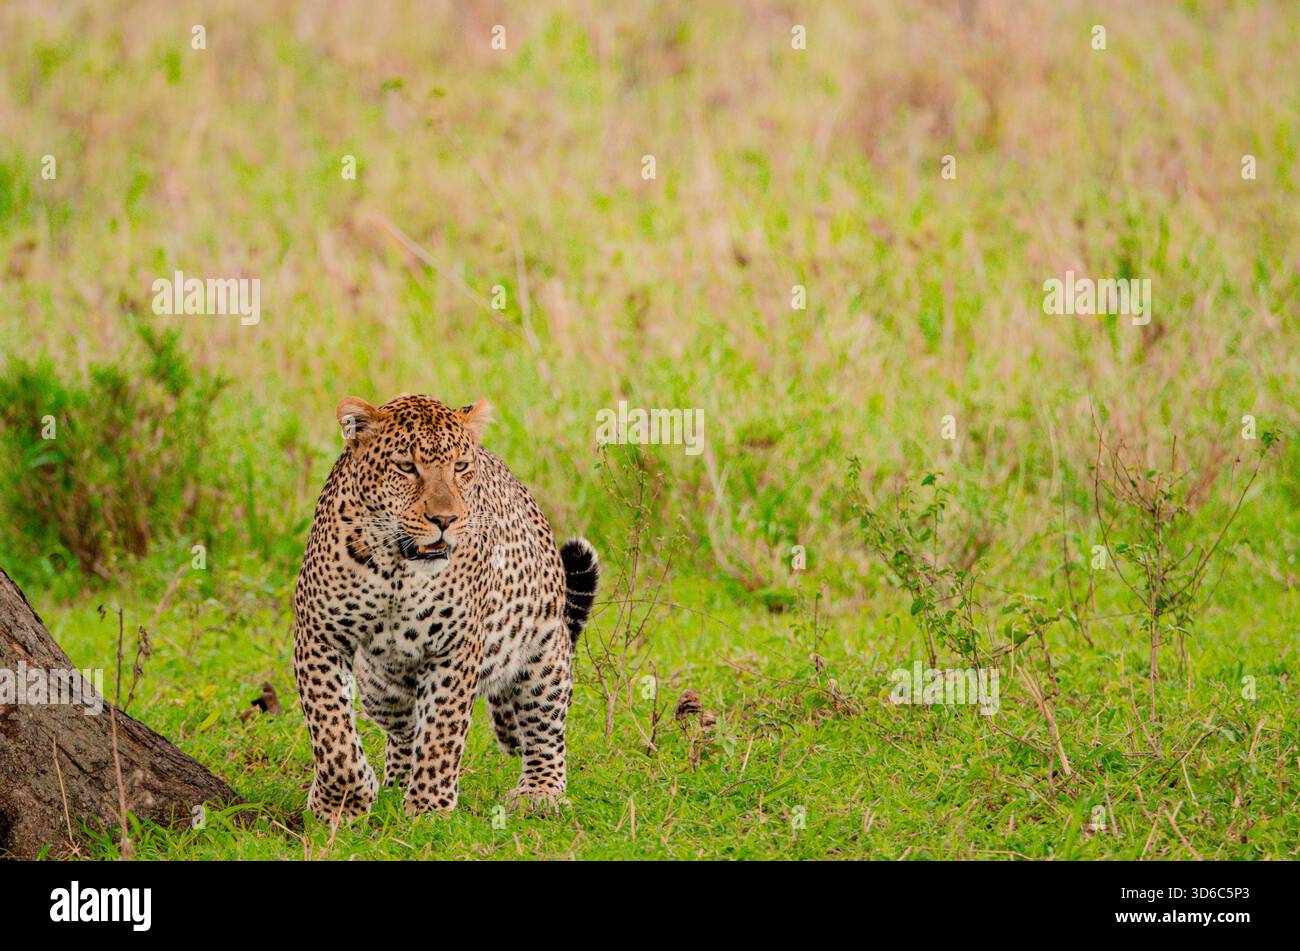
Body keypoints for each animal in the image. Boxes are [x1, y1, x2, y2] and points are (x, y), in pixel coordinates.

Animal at [292, 393, 598, 820]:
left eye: (461, 467)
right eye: (406, 467)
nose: (445, 519)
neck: (397, 569)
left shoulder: (456, 648)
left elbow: (441, 732)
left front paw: (429, 808)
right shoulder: (319, 635)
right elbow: (331, 731)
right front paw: (343, 802)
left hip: (544, 658)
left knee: (545, 730)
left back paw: (540, 792)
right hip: (378, 688)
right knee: (403, 731)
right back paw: (395, 782)